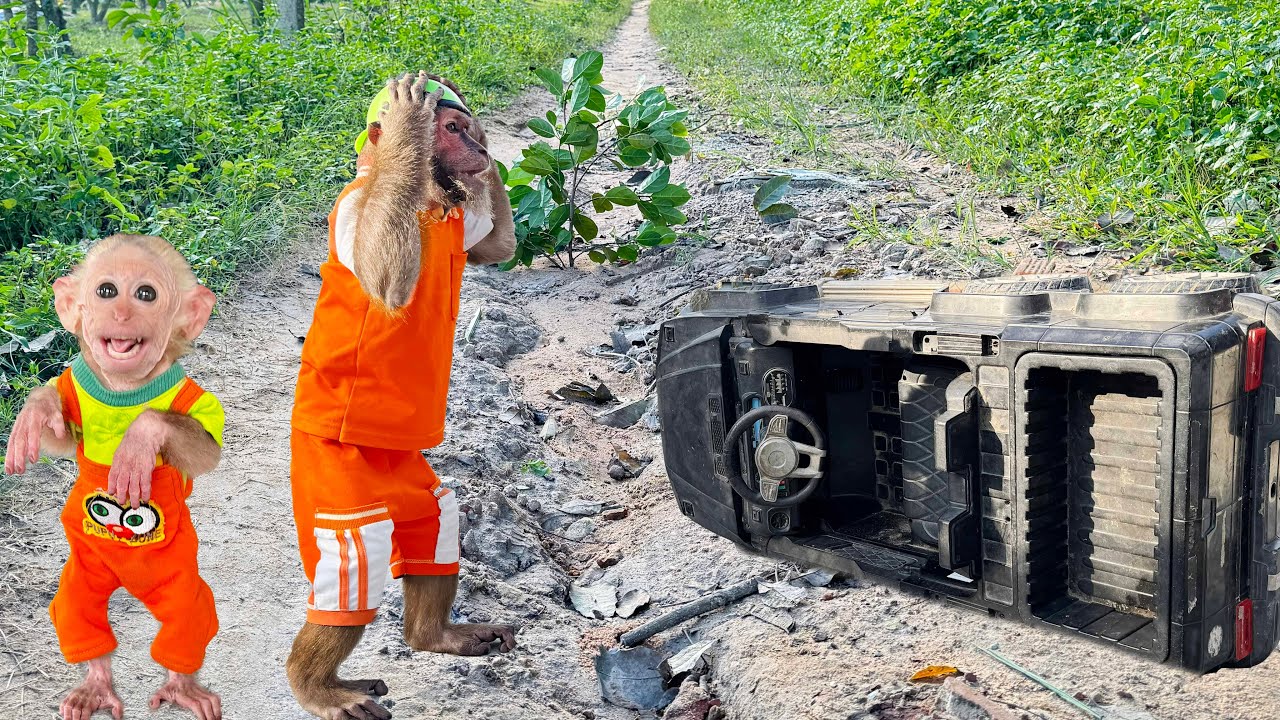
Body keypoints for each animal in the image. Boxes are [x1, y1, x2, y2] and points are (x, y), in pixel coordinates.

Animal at [4, 234, 225, 720]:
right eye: (106, 291)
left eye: (146, 294)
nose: (122, 313)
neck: (125, 390)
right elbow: (59, 432)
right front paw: (38, 408)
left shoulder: (198, 403)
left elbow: (201, 448)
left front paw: (139, 439)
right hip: (87, 571)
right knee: (76, 608)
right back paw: (96, 684)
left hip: (175, 572)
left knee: (188, 614)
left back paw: (182, 685)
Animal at [285, 72, 517, 720]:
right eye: (451, 129)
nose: (475, 144)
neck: (428, 197)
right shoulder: (357, 207)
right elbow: (387, 280)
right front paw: (403, 130)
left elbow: (498, 247)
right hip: (333, 474)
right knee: (356, 555)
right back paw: (314, 686)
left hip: (409, 482)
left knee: (436, 517)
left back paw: (432, 635)